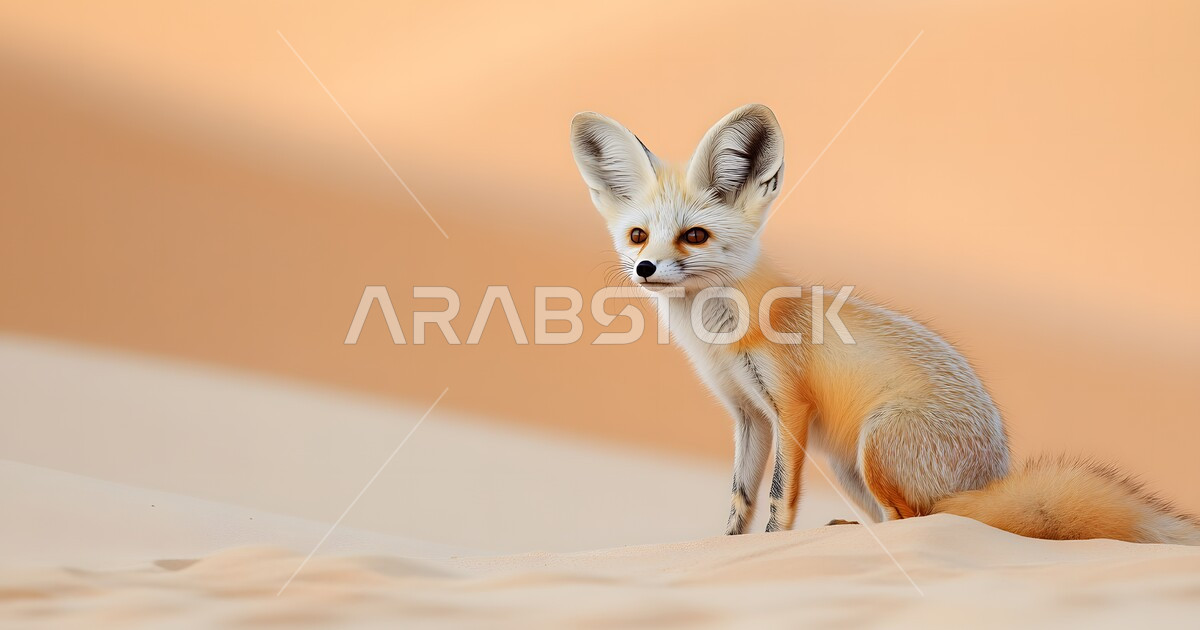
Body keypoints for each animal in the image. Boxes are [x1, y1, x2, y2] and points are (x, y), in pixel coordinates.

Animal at [569, 103, 1200, 545]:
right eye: (637, 236)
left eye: (694, 236)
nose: (646, 269)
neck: (725, 331)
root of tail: (989, 478)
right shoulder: (748, 414)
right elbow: (739, 499)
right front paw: (724, 548)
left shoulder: (790, 407)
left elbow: (778, 498)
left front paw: (772, 547)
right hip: (848, 463)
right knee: (902, 518)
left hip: (873, 443)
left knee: (913, 518)